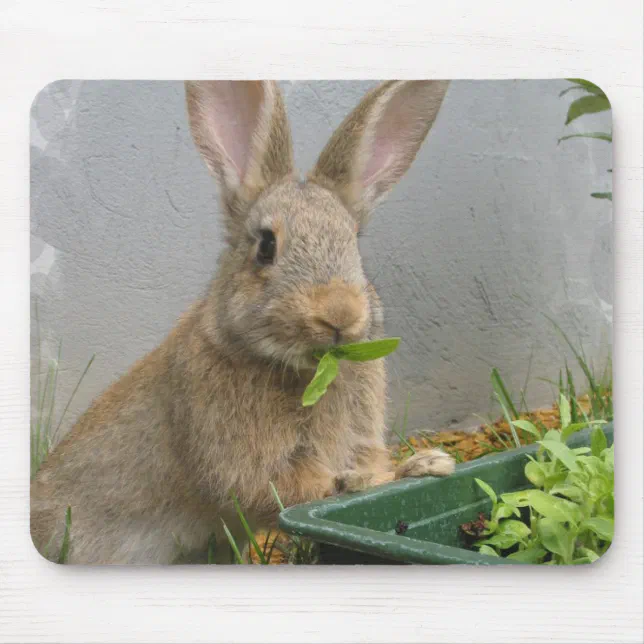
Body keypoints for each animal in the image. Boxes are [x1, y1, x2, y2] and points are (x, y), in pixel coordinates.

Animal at [30, 79, 455, 565]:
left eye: (354, 244)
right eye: (266, 246)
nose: (339, 314)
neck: (304, 369)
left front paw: (428, 464)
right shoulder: (246, 462)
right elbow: (297, 489)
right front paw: (411, 469)